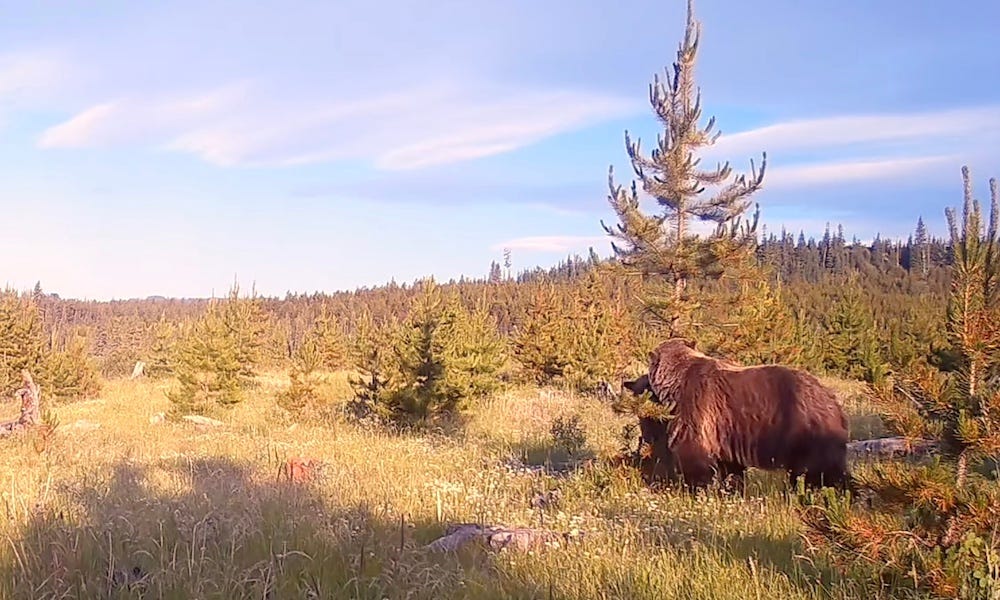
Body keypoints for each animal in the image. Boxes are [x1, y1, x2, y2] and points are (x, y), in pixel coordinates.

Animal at [622, 337, 850, 492]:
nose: (647, 435)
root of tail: (833, 401)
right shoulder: (727, 434)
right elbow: (731, 469)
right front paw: (731, 489)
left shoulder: (697, 410)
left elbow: (694, 456)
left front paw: (697, 489)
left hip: (807, 432)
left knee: (823, 473)